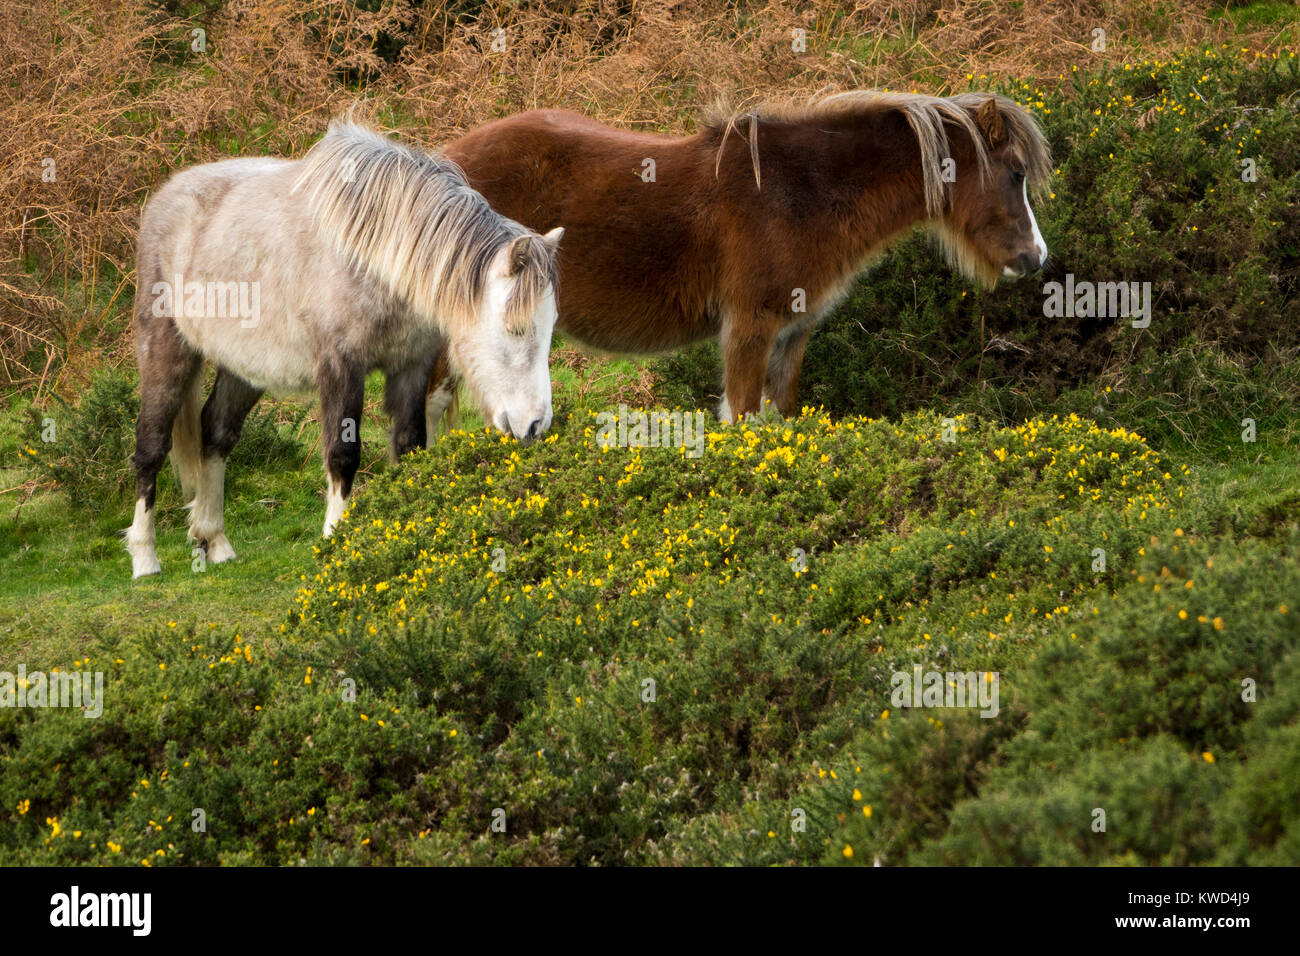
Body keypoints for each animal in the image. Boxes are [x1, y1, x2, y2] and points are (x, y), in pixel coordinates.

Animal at [125, 120, 564, 578]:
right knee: (151, 445)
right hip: (164, 348)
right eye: (515, 329)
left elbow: (409, 446)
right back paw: (145, 557)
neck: (374, 255)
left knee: (216, 432)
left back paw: (214, 541)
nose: (536, 425)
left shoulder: (411, 366)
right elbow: (343, 454)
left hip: (244, 366)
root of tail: (166, 195)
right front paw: (337, 541)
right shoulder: (341, 366)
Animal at [424, 91, 1050, 433]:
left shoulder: (792, 334)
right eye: (1016, 174)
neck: (802, 192)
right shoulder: (749, 328)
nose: (1035, 258)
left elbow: (779, 416)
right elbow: (743, 418)